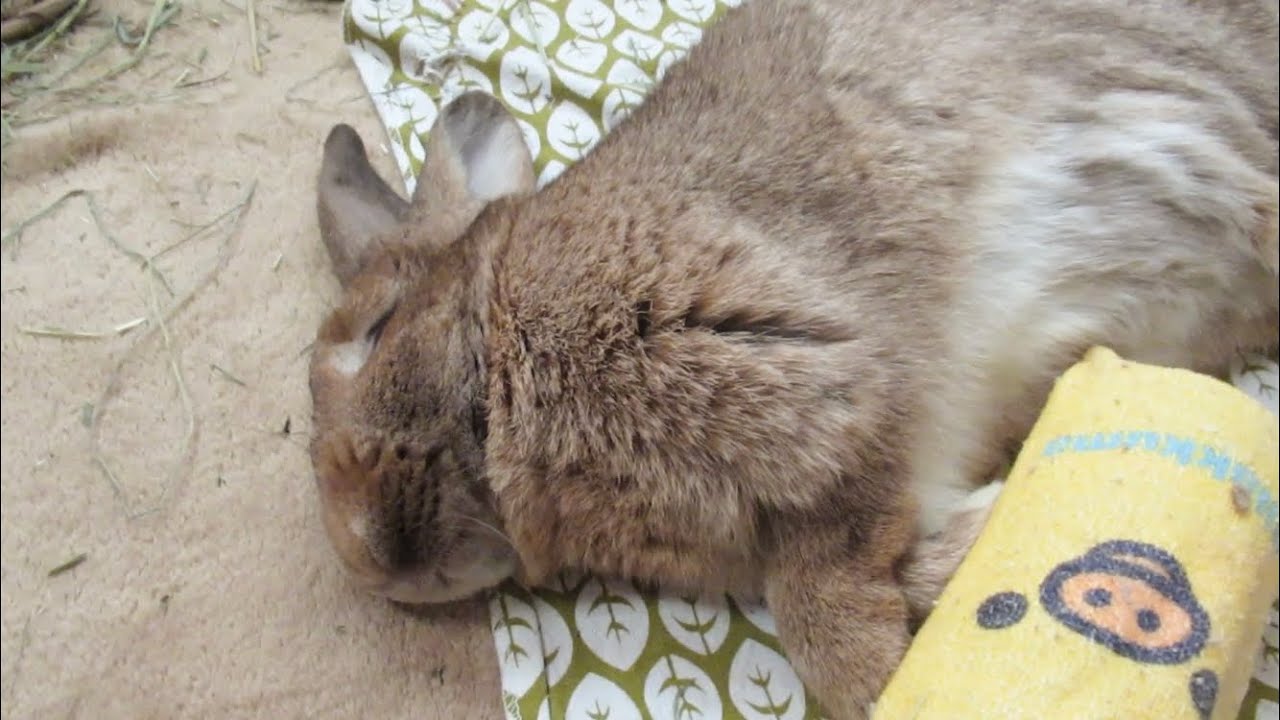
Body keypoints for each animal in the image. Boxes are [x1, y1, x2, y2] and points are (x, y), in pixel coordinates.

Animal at [306, 0, 1279, 717]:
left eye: (377, 331)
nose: (368, 559)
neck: (497, 327)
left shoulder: (830, 381)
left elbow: (824, 624)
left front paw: (897, 665)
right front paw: (979, 539)